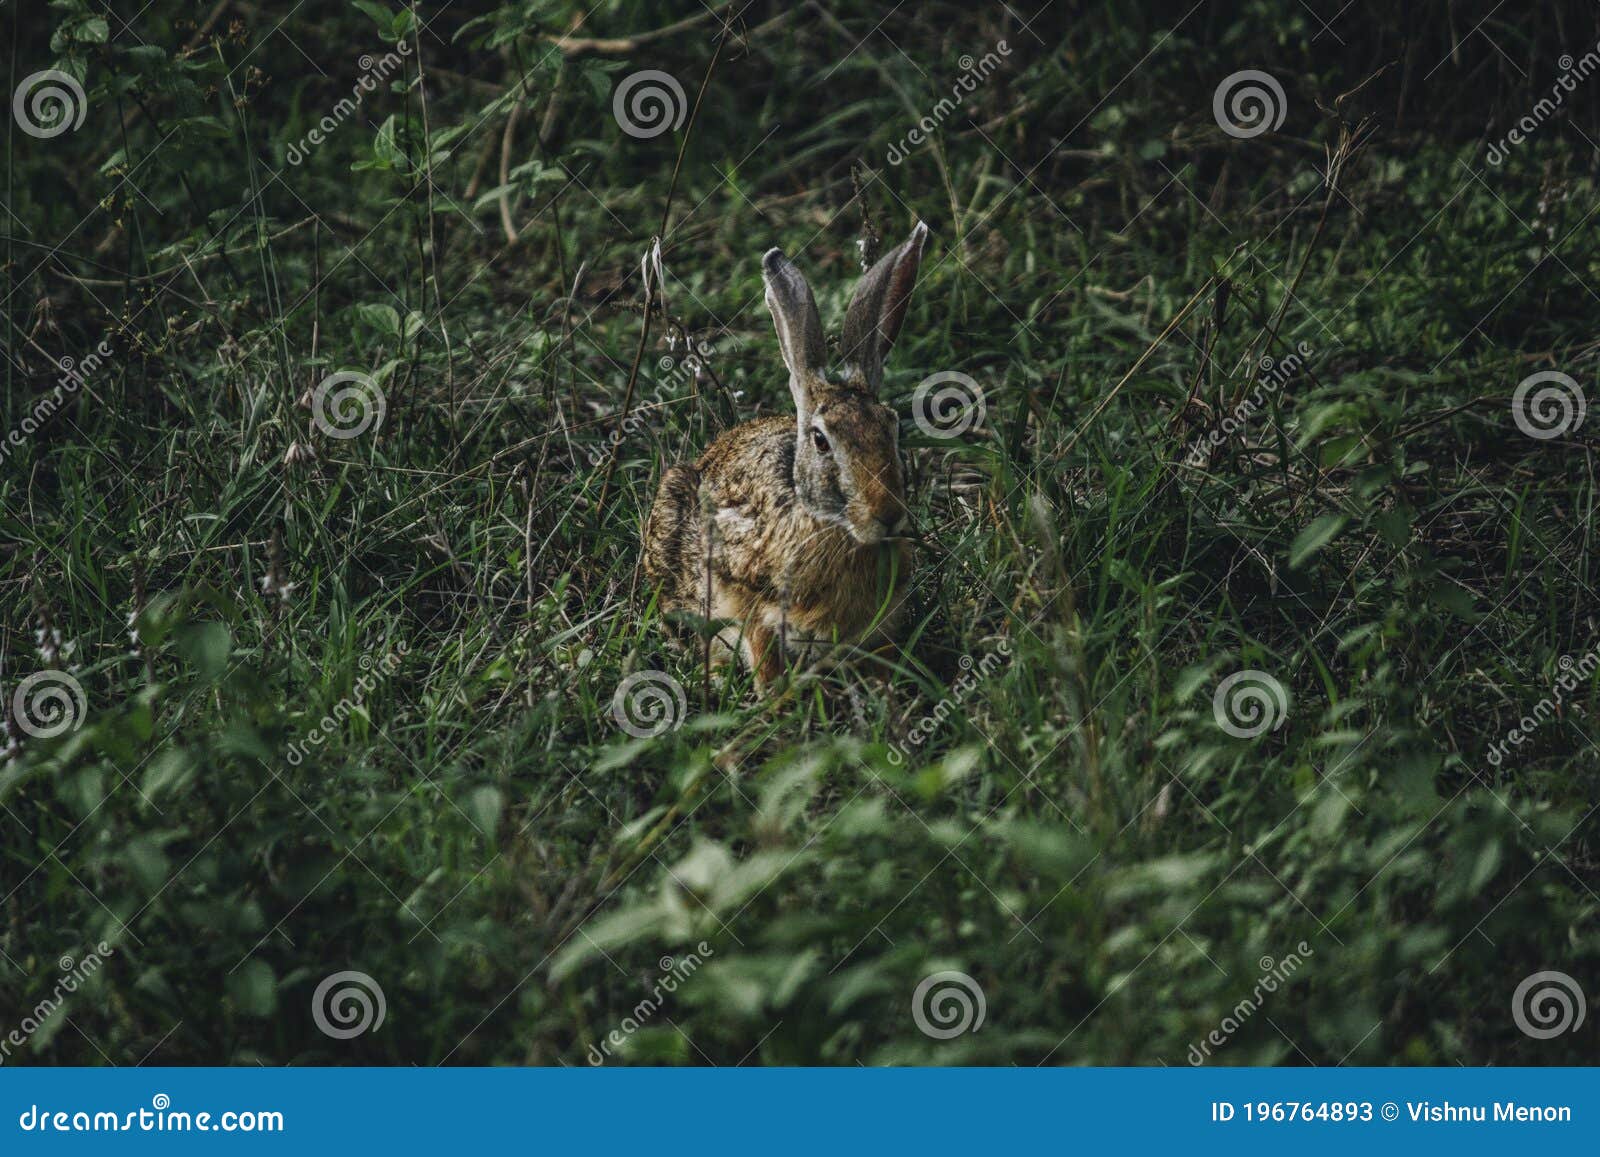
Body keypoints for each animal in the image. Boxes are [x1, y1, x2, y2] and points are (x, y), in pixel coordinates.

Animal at [643, 222, 930, 691]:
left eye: (894, 428)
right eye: (820, 441)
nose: (888, 514)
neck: (835, 525)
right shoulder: (751, 604)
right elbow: (764, 659)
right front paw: (775, 698)